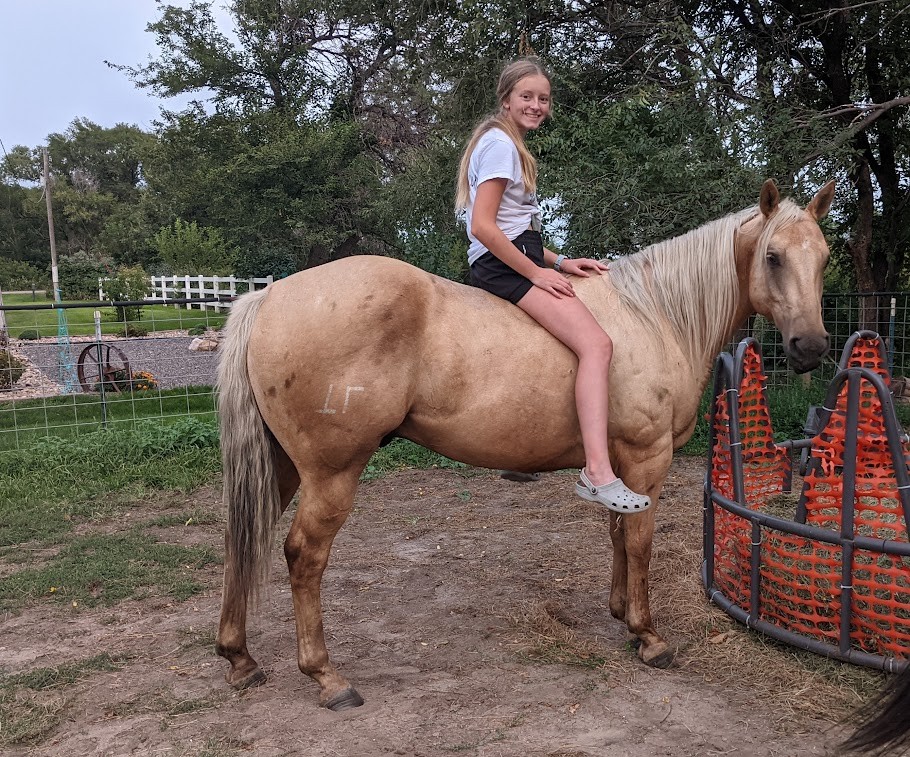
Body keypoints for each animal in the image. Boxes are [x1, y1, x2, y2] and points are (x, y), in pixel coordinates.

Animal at [215, 179, 834, 710]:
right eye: (774, 257)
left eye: (824, 257)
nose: (810, 347)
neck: (653, 314)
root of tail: (268, 299)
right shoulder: (646, 457)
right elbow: (638, 543)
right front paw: (648, 635)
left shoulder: (620, 465)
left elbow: (617, 533)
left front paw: (620, 615)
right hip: (331, 474)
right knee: (303, 556)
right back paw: (326, 677)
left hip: (283, 467)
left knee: (241, 542)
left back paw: (239, 658)